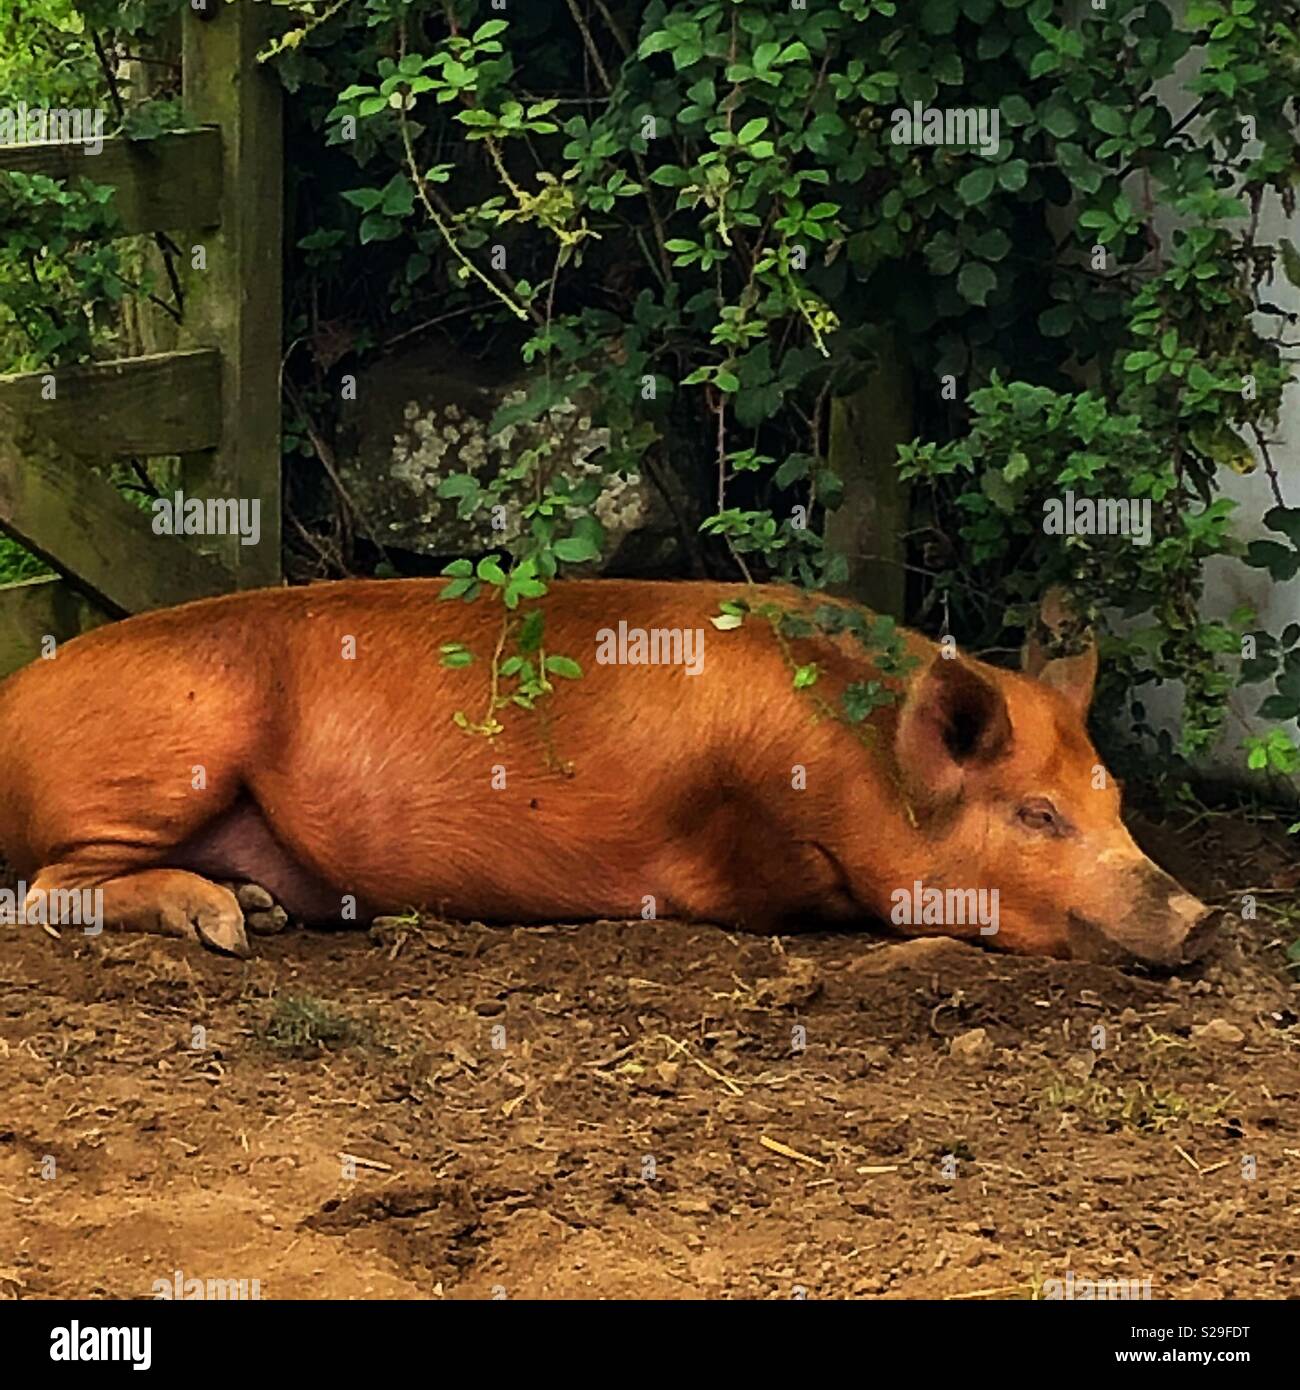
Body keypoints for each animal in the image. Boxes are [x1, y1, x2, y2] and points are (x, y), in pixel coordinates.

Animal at [0, 578, 1217, 965]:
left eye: (1115, 799)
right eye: (1036, 812)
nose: (1203, 920)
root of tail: (12, 694)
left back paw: (254, 905)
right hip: (168, 758)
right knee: (45, 893)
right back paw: (227, 927)